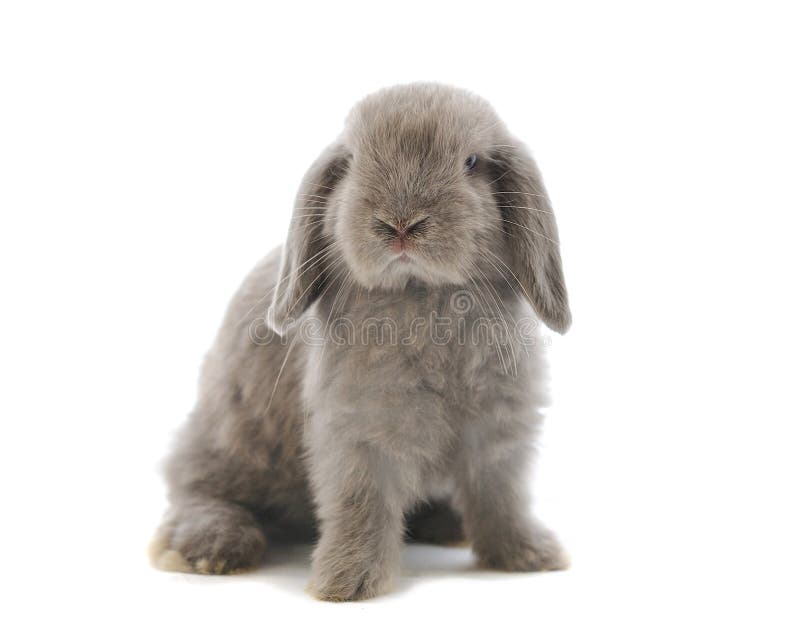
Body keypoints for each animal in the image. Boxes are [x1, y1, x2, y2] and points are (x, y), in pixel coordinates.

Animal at [149, 82, 571, 601]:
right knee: (197, 490)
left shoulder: (497, 432)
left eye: (472, 161)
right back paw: (210, 548)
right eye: (352, 161)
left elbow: (502, 498)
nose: (400, 224)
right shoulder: (361, 433)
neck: (421, 293)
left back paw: (446, 524)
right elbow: (361, 504)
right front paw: (347, 583)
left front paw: (527, 557)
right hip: (231, 443)